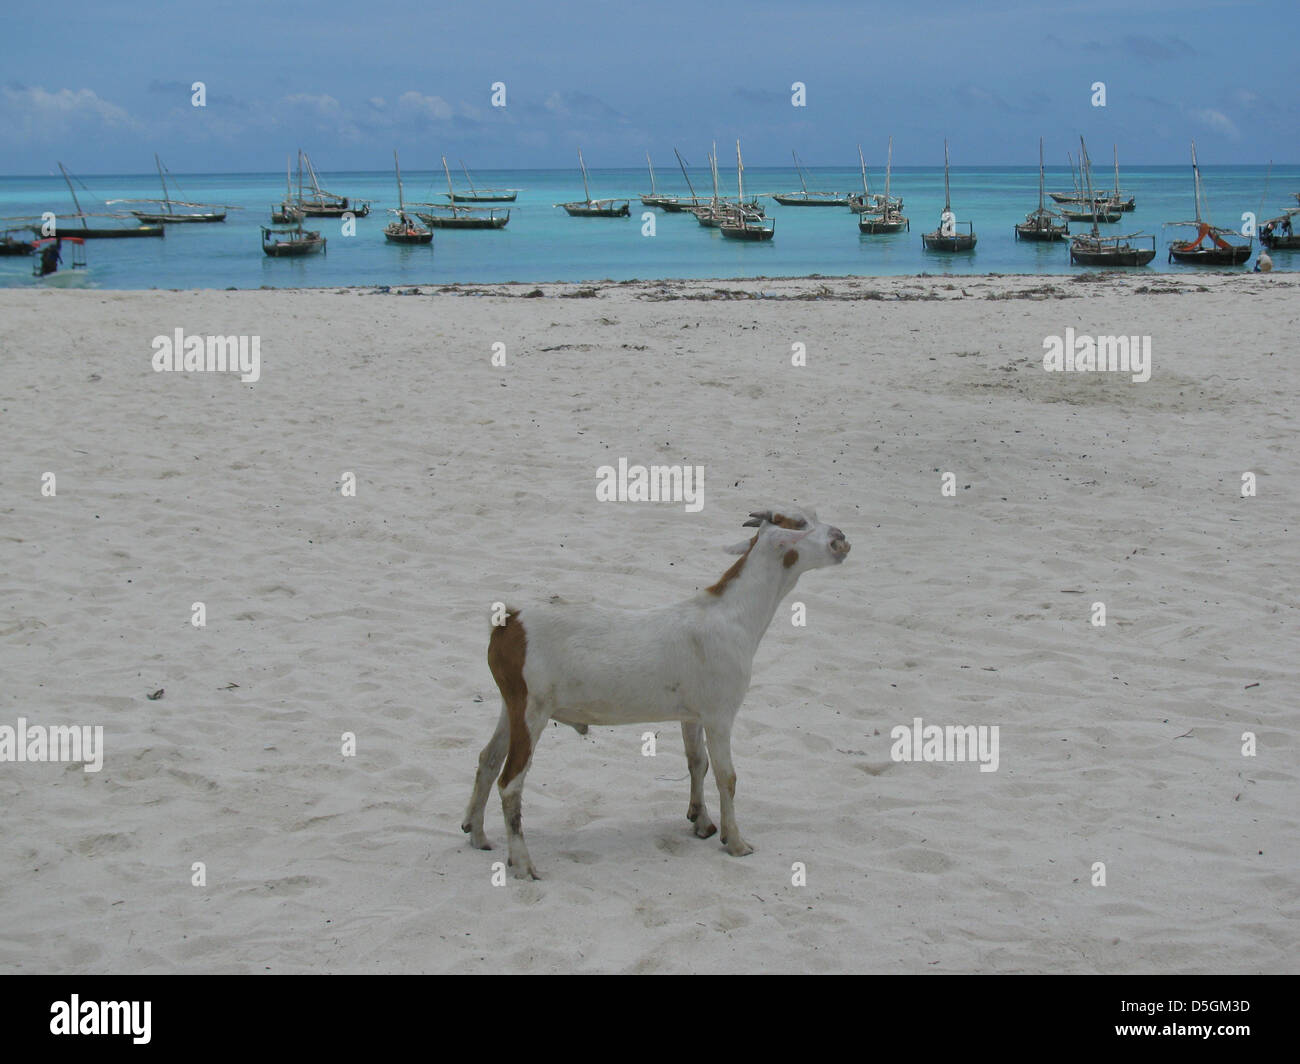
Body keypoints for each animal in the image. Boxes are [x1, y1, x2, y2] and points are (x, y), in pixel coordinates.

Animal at [461, 506, 851, 879]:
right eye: (800, 523)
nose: (841, 538)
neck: (733, 615)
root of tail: (509, 622)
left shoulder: (692, 714)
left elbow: (697, 762)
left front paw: (701, 821)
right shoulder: (720, 713)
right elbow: (727, 776)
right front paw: (736, 841)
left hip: (512, 704)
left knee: (487, 760)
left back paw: (477, 834)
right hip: (532, 710)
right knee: (510, 782)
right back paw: (523, 864)